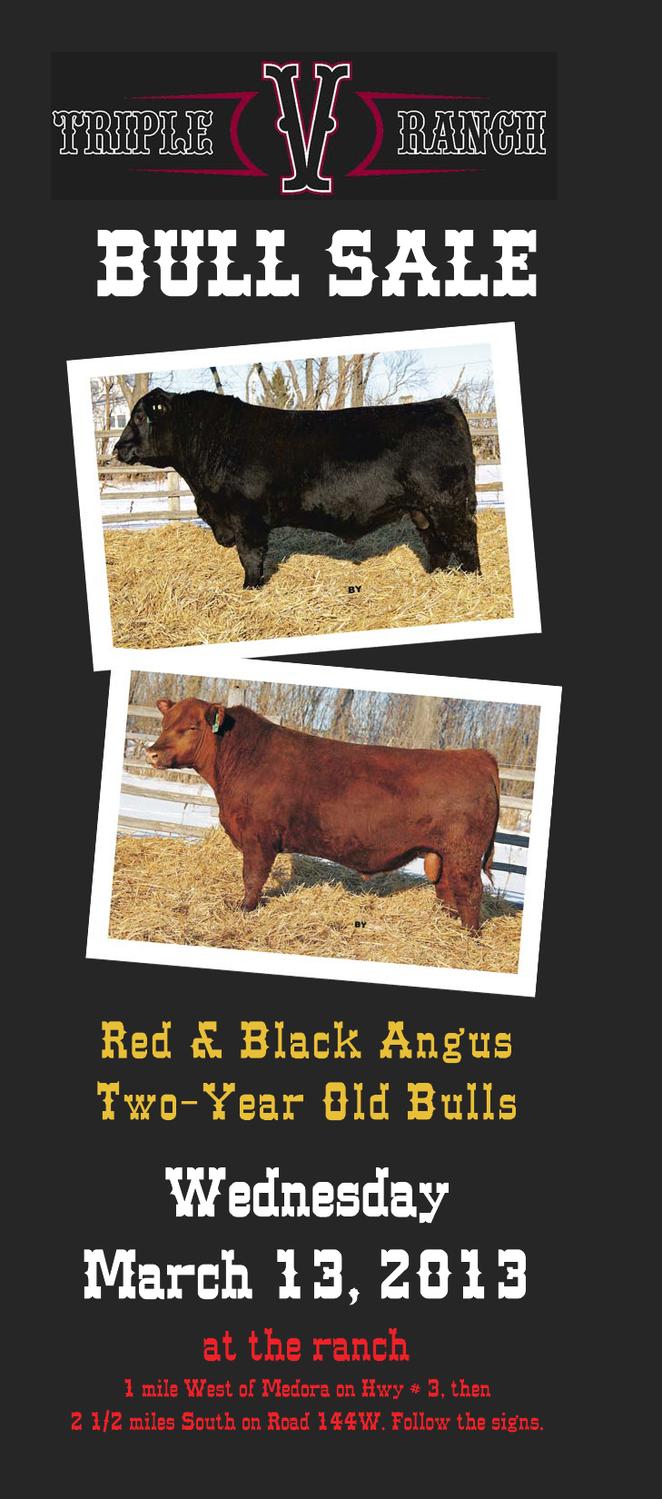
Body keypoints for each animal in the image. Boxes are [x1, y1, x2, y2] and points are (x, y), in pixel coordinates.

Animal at [114, 388, 480, 589]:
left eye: (139, 417)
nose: (117, 448)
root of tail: (443, 403)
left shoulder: (246, 519)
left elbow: (250, 557)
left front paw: (250, 589)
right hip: (422, 510)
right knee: (437, 546)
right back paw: (434, 579)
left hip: (448, 504)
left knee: (465, 543)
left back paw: (472, 582)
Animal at [145, 697, 500, 932]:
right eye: (165, 724)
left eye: (191, 727)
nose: (152, 753)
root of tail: (477, 756)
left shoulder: (259, 838)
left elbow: (253, 878)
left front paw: (244, 909)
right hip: (443, 855)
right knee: (447, 890)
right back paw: (448, 925)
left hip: (465, 854)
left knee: (471, 892)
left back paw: (469, 935)